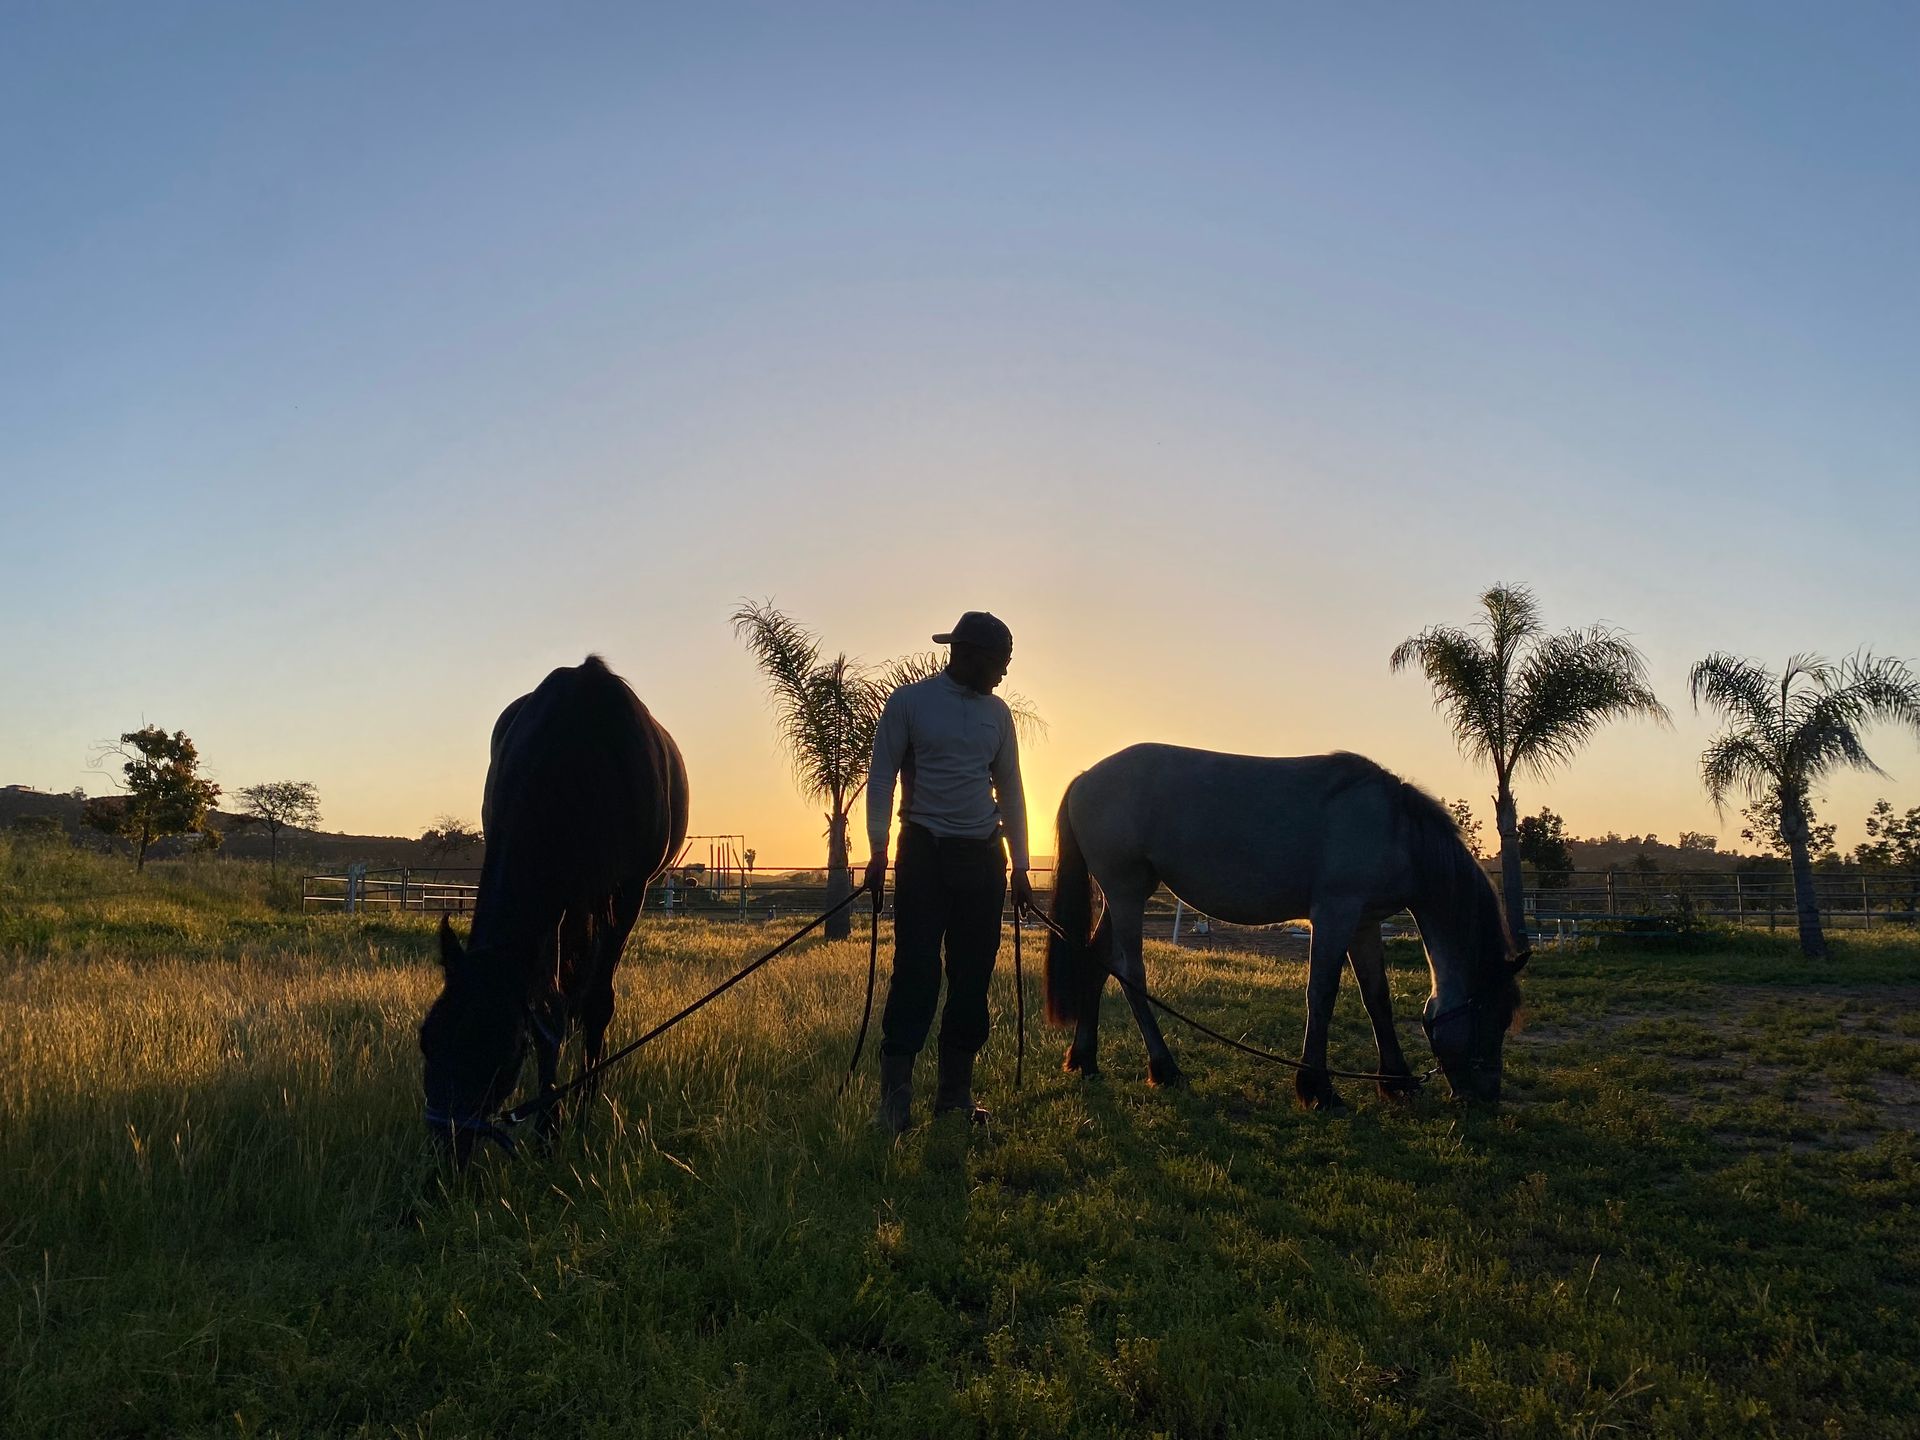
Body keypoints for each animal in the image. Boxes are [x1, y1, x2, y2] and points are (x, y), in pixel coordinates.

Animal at [420, 655, 689, 1159]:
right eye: (427, 1042)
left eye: (506, 1052)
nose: (449, 1150)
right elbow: (550, 1005)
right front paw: (549, 1124)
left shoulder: (629, 890)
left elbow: (593, 1003)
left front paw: (574, 1112)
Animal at [1043, 744, 1527, 1108]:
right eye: (1494, 1014)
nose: (1487, 1096)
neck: (1395, 829)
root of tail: (1085, 777)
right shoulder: (1335, 913)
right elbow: (1322, 994)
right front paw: (1317, 1087)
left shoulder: (1364, 921)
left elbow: (1377, 999)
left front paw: (1396, 1081)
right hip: (1126, 894)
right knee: (1132, 976)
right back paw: (1164, 1069)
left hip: (1126, 894)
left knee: (1097, 962)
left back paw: (1084, 1059)